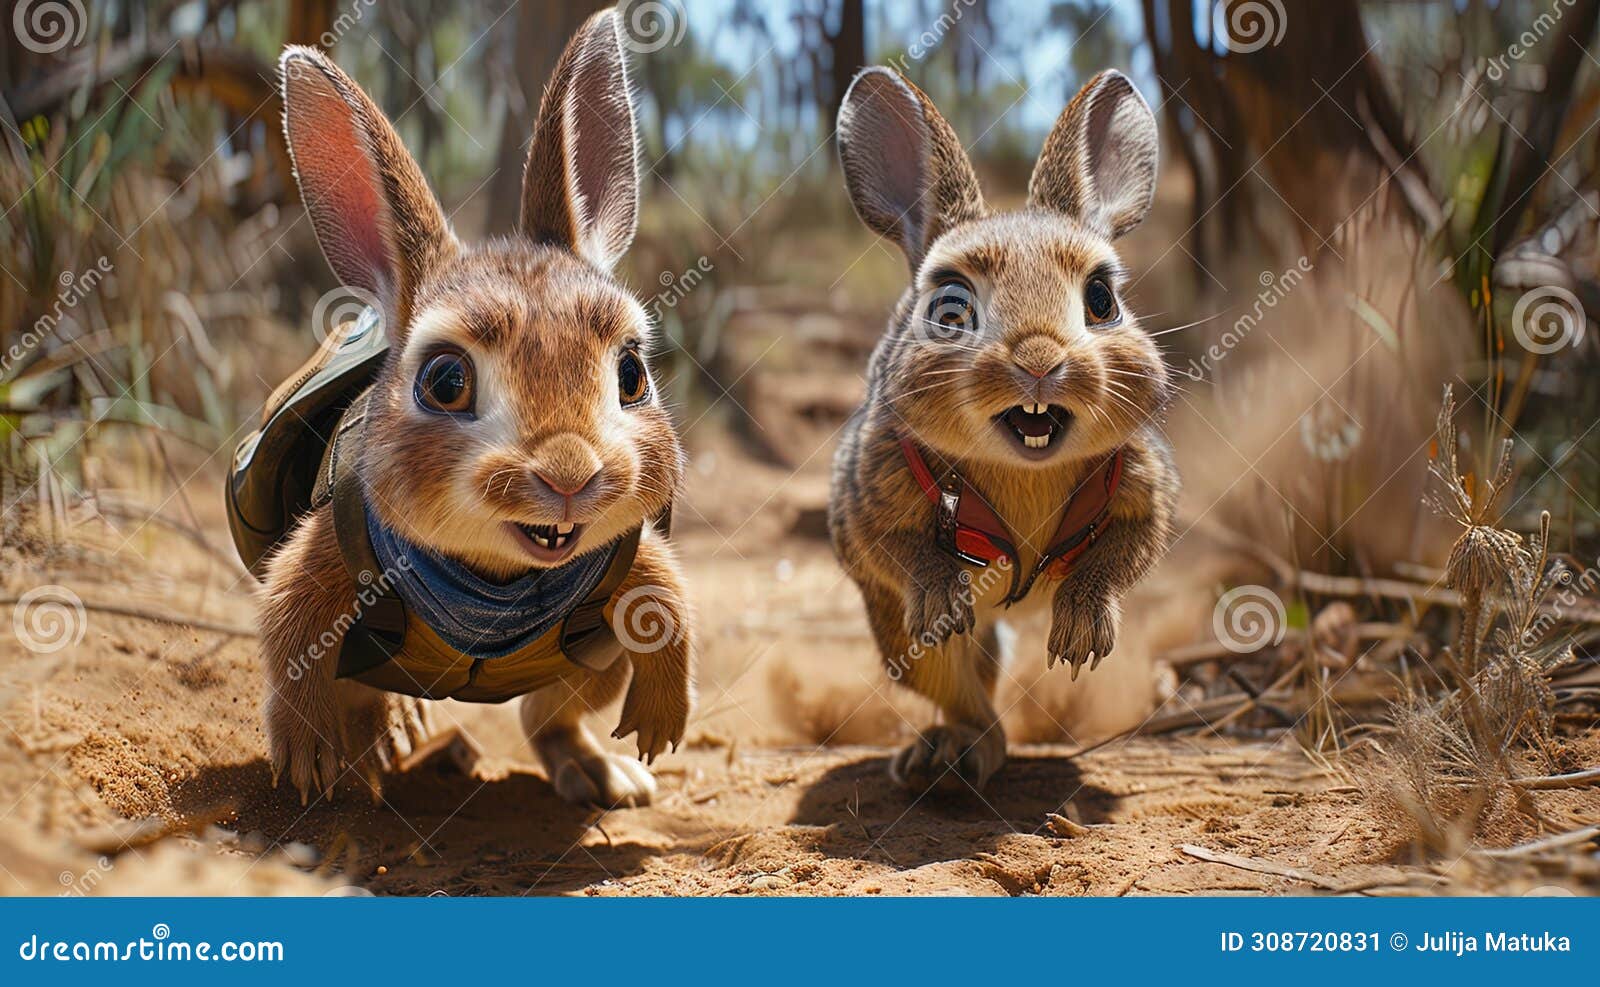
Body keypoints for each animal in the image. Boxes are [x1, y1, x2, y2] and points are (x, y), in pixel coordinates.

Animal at [258, 9, 691, 809]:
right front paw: (306, 759)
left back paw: (601, 774)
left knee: (551, 715)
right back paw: (380, 746)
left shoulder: (628, 553)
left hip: (584, 670)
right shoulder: (331, 549)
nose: (571, 474)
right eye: (445, 380)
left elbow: (669, 604)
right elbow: (287, 627)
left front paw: (658, 726)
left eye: (631, 373)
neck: (496, 584)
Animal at [828, 67, 1179, 793]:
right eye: (949, 308)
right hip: (908, 647)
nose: (1040, 360)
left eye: (1101, 297)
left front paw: (1079, 633)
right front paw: (942, 599)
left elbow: (1125, 552)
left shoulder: (1146, 487)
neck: (1025, 471)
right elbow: (898, 549)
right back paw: (948, 757)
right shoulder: (869, 496)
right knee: (971, 702)